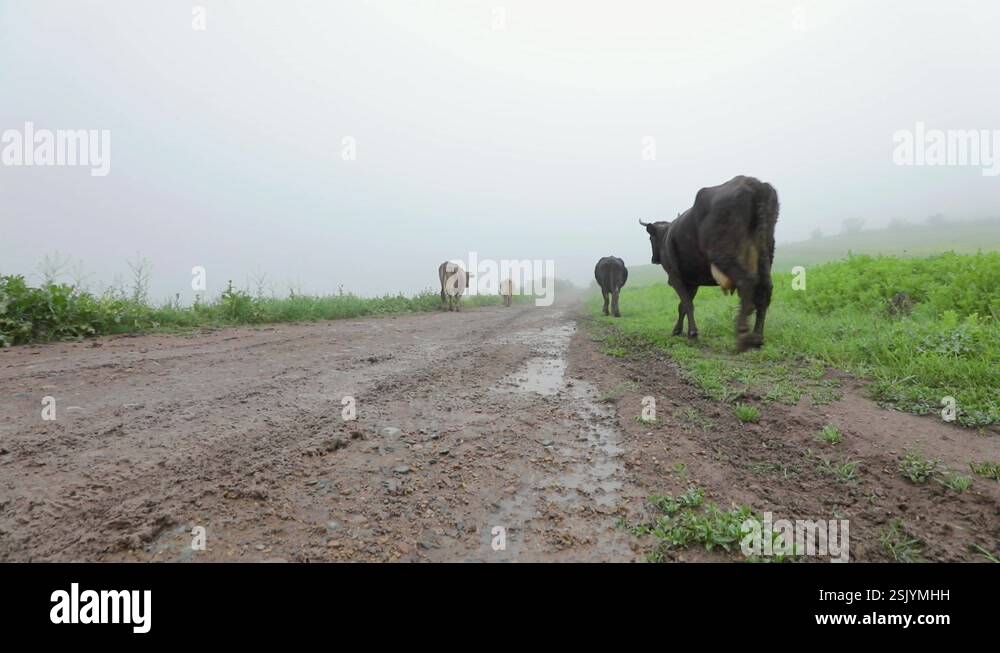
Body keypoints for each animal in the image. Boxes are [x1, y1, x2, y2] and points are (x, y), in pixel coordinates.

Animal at [640, 175, 779, 352]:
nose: (654, 259)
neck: (666, 234)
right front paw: (678, 330)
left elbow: (687, 304)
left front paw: (692, 333)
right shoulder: (692, 282)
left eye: (651, 238)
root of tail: (754, 184)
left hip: (725, 254)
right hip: (765, 253)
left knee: (747, 282)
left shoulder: (675, 277)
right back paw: (758, 337)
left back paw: (743, 335)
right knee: (764, 291)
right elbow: (683, 306)